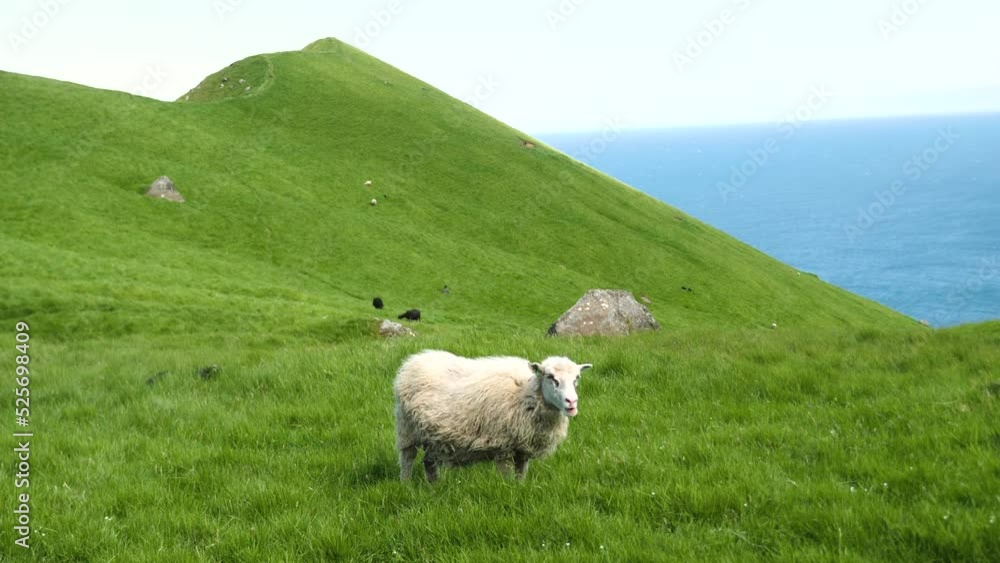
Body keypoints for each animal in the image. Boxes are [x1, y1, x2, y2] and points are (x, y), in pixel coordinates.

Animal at [394, 350, 592, 481]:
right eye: (550, 377)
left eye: (577, 378)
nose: (572, 402)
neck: (525, 394)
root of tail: (411, 361)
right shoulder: (502, 445)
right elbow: (506, 476)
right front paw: (507, 491)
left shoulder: (523, 447)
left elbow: (520, 475)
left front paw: (519, 489)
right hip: (407, 427)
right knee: (407, 459)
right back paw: (406, 485)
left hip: (433, 435)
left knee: (429, 462)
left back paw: (434, 487)